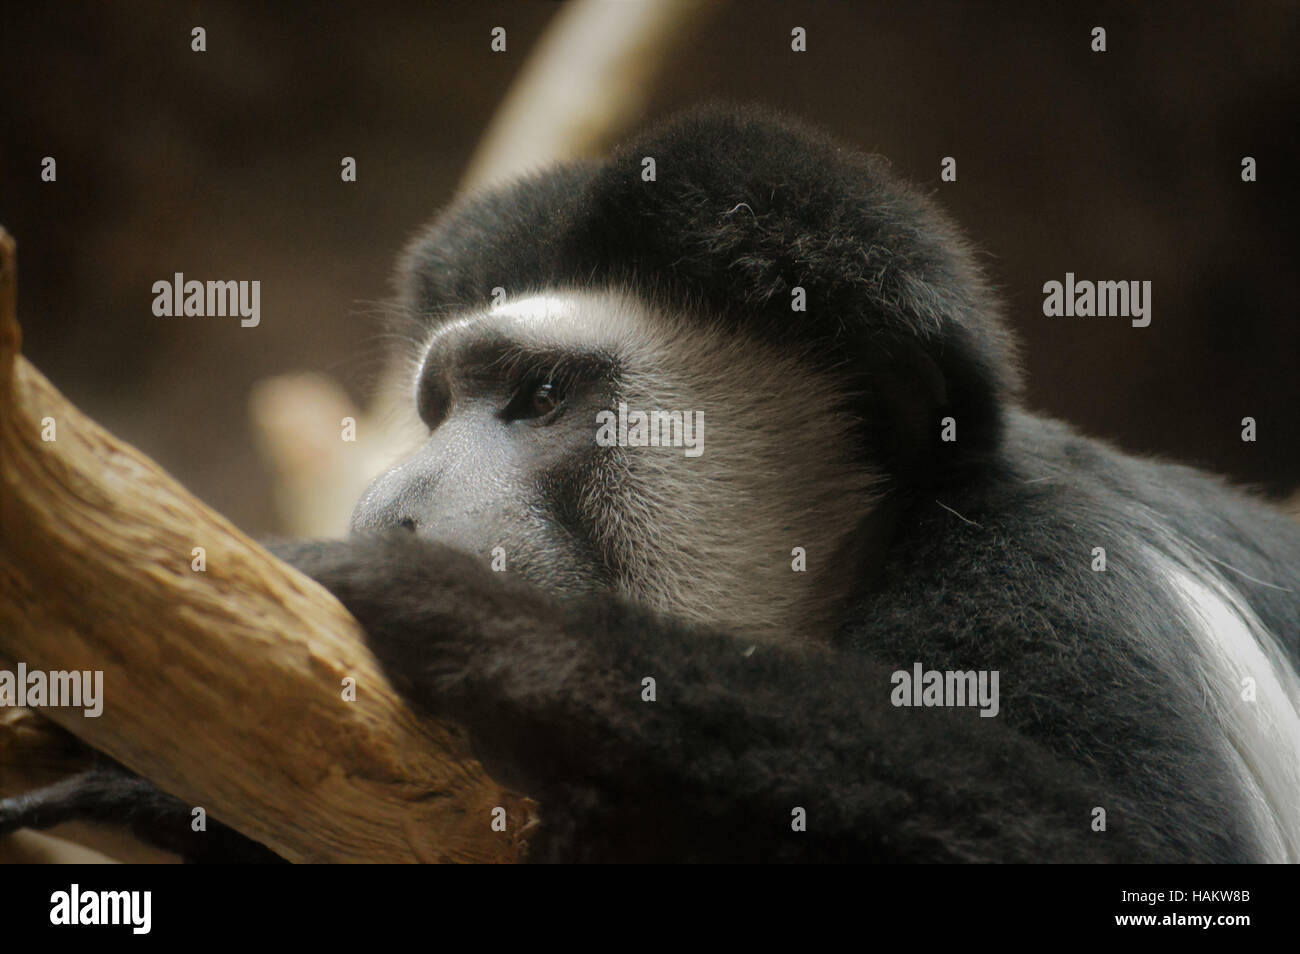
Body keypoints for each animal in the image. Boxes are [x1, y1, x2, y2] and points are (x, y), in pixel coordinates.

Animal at [3, 104, 1298, 863]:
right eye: (441, 406)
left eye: (539, 397)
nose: (390, 508)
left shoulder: (1050, 580)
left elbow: (1132, 847)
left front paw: (474, 630)